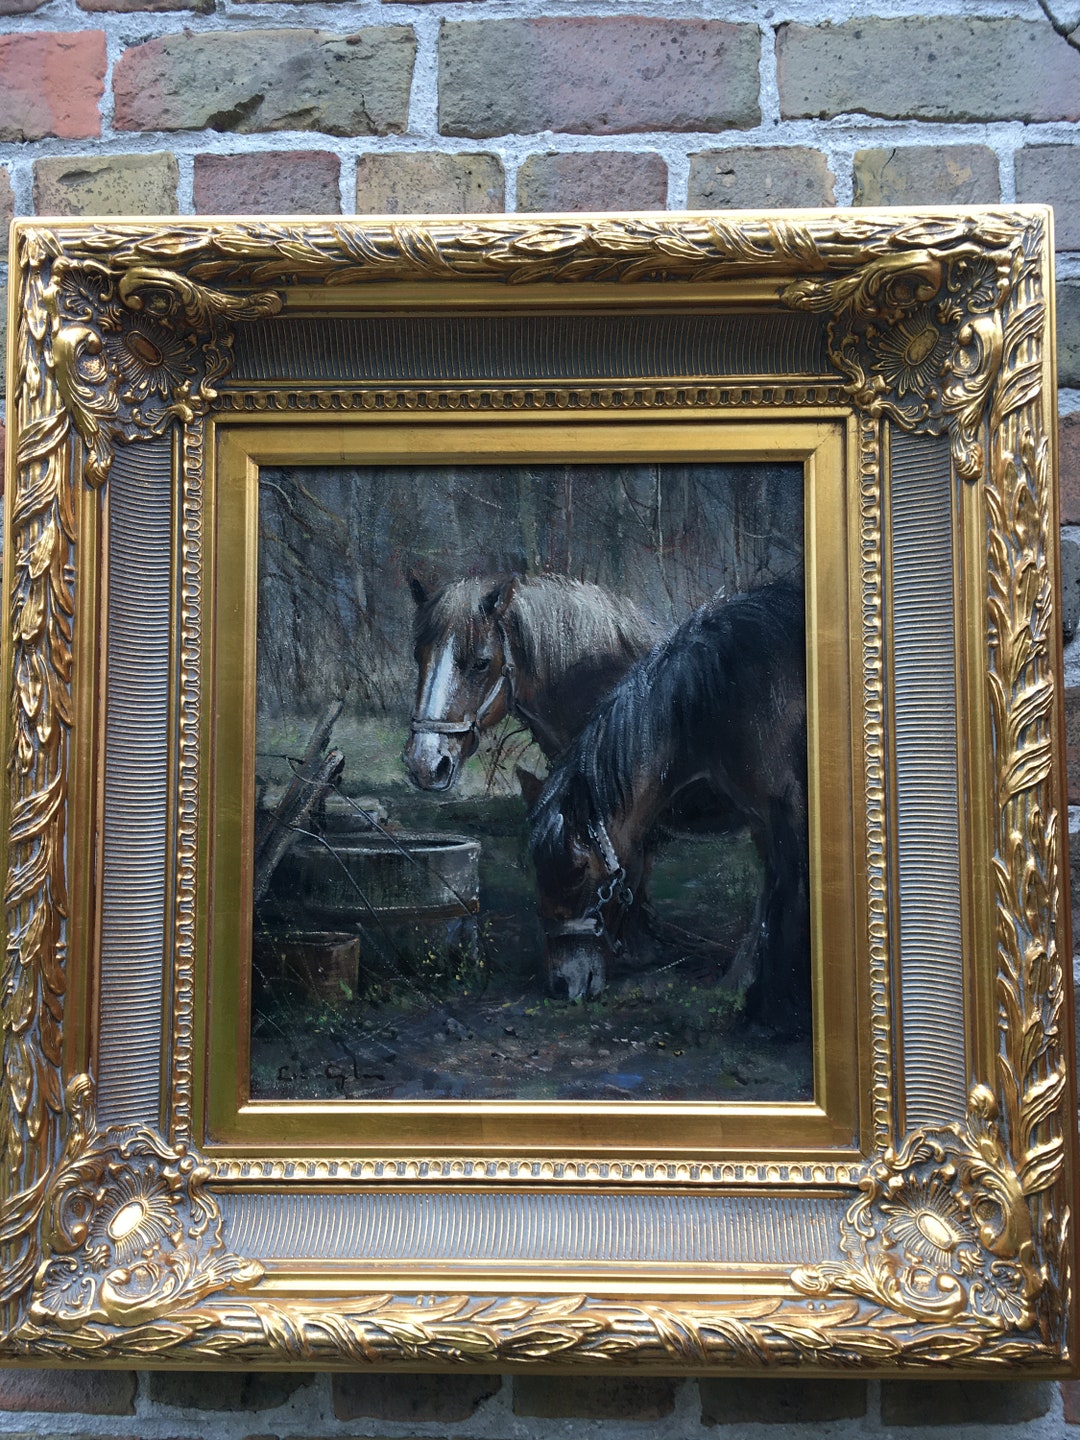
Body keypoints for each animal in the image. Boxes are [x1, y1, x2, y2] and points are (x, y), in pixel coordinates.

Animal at [527, 583, 810, 1037]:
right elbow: (771, 894)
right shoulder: (761, 817)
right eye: (536, 870)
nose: (560, 984)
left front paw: (770, 1007)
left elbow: (786, 892)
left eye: (579, 871)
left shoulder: (784, 806)